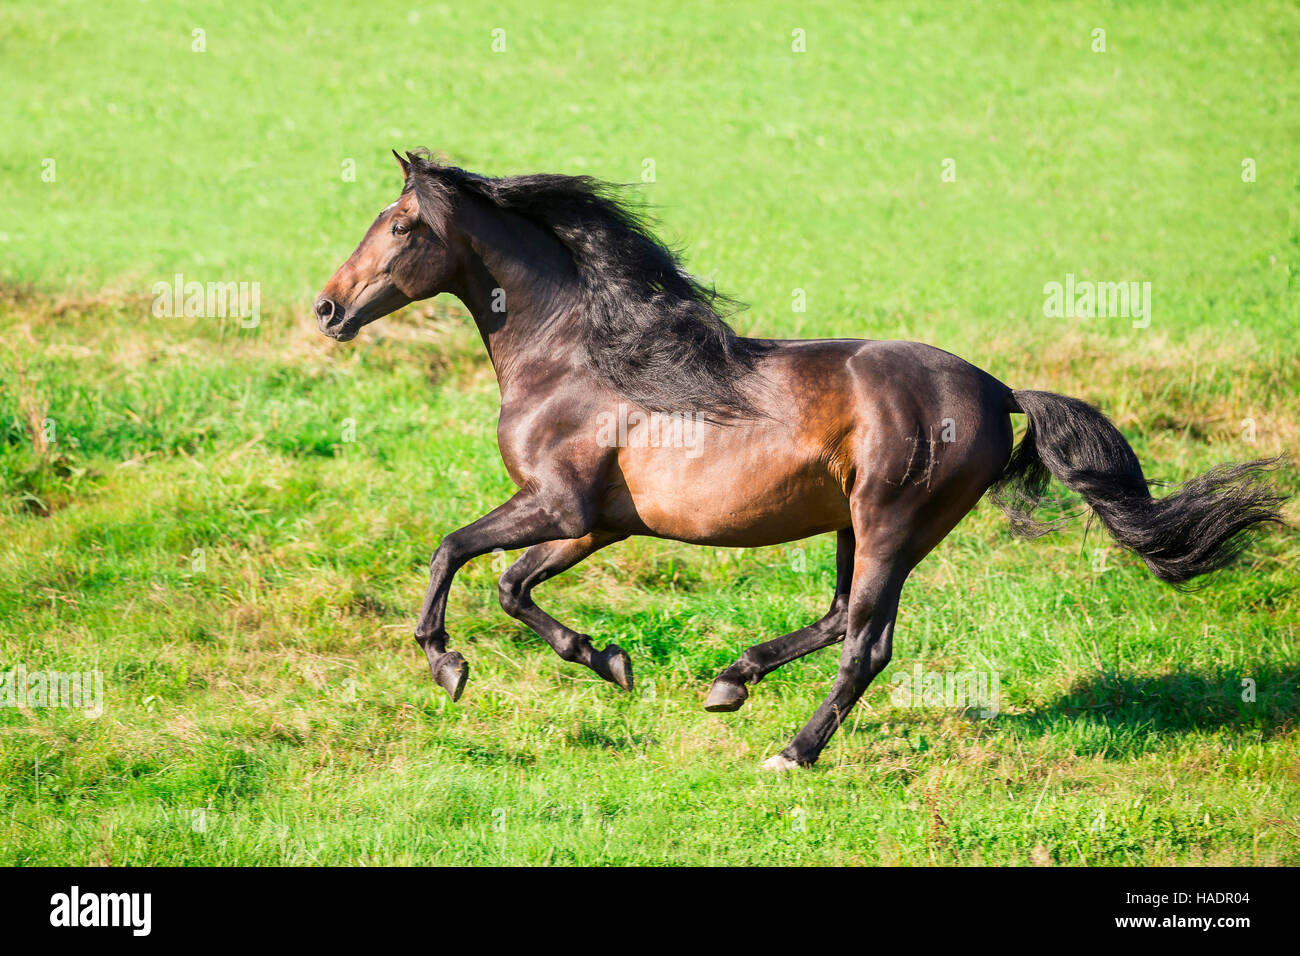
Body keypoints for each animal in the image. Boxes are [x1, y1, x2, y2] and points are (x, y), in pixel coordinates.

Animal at [314, 149, 1285, 770]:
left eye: (400, 226)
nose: (326, 309)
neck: (578, 358)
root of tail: (997, 387)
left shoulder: (560, 507)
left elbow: (451, 550)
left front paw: (447, 666)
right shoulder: (594, 527)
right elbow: (513, 586)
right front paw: (611, 661)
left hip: (891, 525)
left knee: (866, 644)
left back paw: (793, 751)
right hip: (853, 524)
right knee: (835, 619)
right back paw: (729, 682)